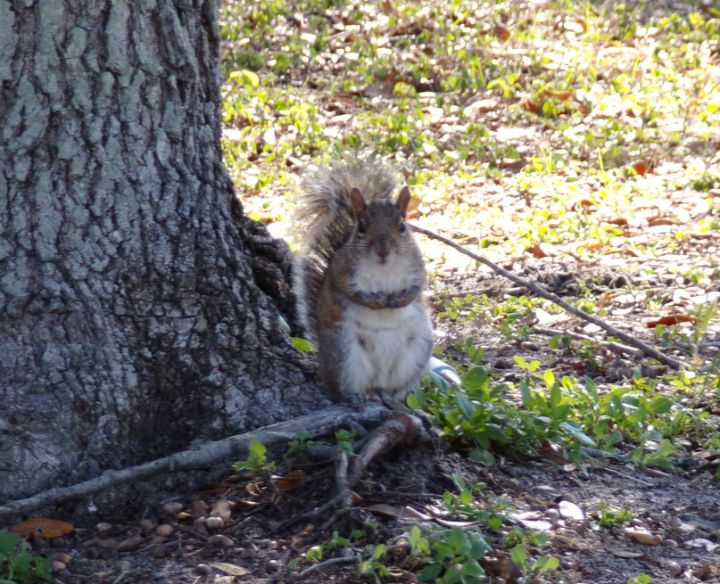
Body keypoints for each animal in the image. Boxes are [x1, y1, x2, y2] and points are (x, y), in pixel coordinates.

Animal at [294, 163, 433, 405]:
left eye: (402, 226)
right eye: (361, 227)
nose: (383, 251)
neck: (384, 268)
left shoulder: (418, 268)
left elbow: (417, 290)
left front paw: (398, 301)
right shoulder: (341, 270)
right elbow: (350, 292)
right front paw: (376, 302)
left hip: (416, 353)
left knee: (391, 388)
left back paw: (389, 397)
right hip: (344, 353)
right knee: (342, 388)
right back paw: (355, 397)